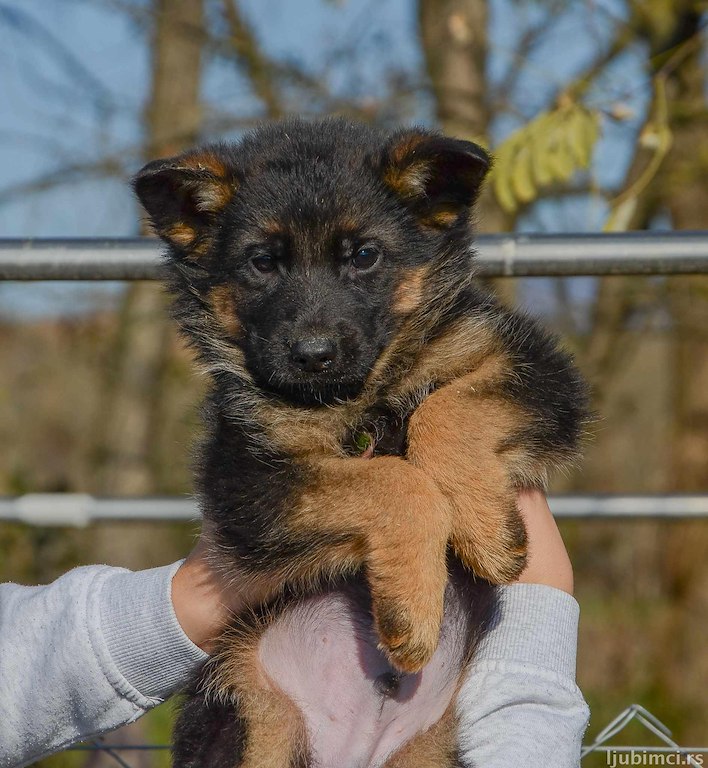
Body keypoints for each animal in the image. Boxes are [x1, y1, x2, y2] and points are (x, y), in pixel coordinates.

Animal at [136, 117, 588, 764]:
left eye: (365, 256)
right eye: (262, 263)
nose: (313, 355)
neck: (360, 394)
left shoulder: (528, 367)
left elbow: (447, 409)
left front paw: (486, 531)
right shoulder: (249, 480)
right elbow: (393, 479)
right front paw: (414, 608)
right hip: (249, 711)